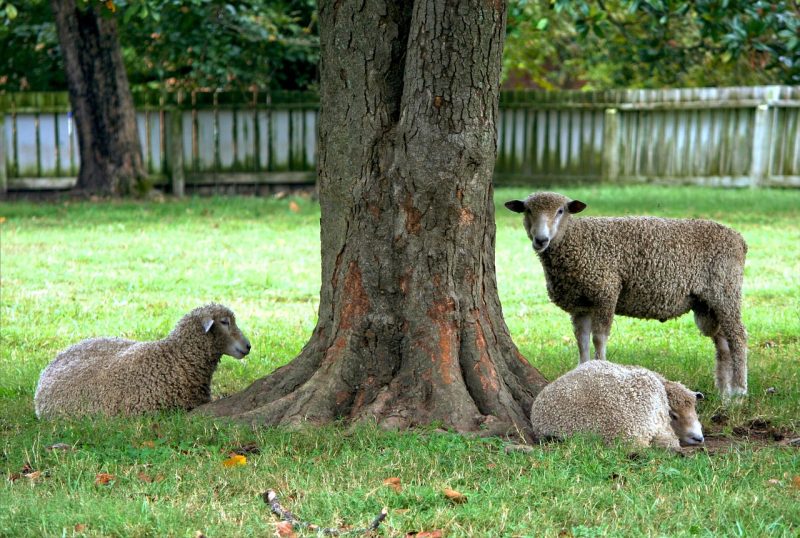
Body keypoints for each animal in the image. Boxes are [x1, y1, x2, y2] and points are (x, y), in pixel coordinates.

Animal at [505, 191, 748, 399]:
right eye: (527, 210)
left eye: (560, 211)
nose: (540, 240)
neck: (577, 240)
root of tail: (739, 240)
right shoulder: (580, 305)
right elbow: (582, 341)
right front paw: (580, 371)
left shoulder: (606, 292)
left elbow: (599, 338)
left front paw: (599, 370)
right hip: (707, 305)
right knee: (722, 343)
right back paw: (724, 393)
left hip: (725, 290)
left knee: (738, 336)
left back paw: (739, 391)